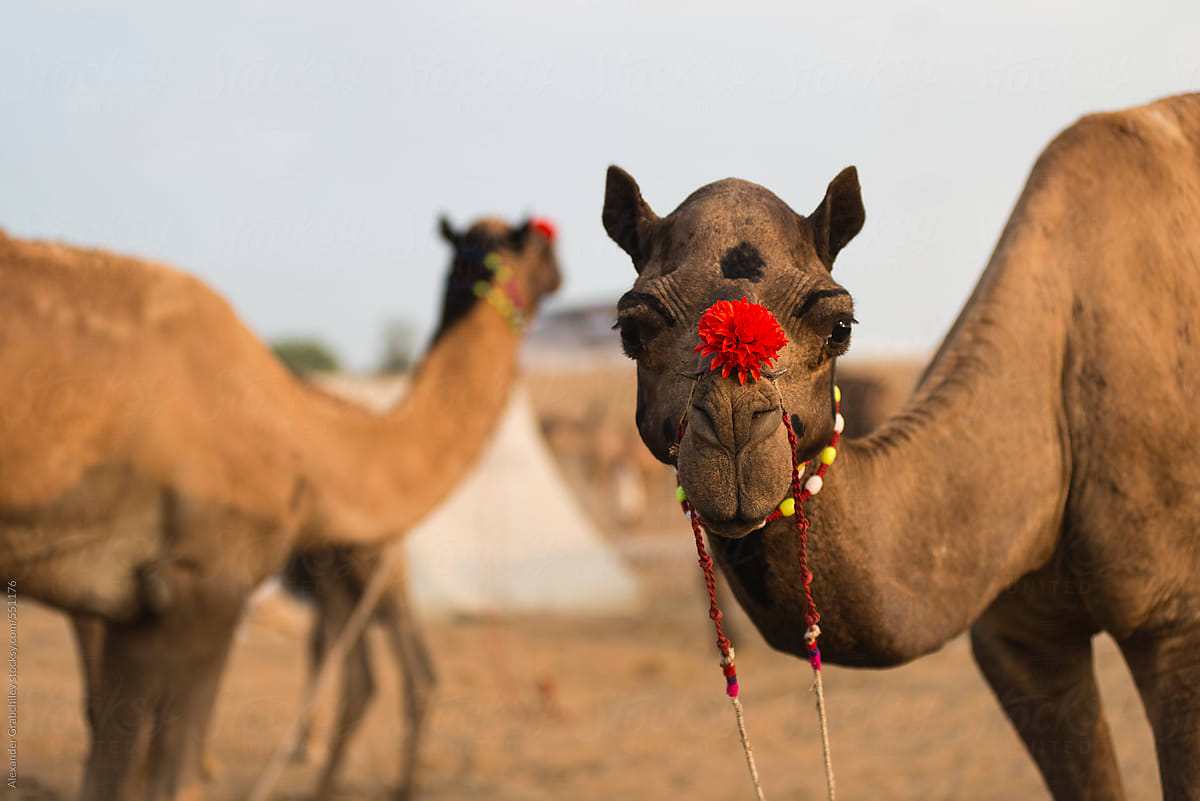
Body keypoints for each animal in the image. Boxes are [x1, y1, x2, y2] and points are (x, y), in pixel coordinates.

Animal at [0, 215, 560, 801]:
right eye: (543, 248)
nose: (561, 272)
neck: (303, 431)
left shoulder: (152, 597)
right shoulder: (195, 587)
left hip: (360, 573)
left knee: (387, 670)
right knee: (376, 673)